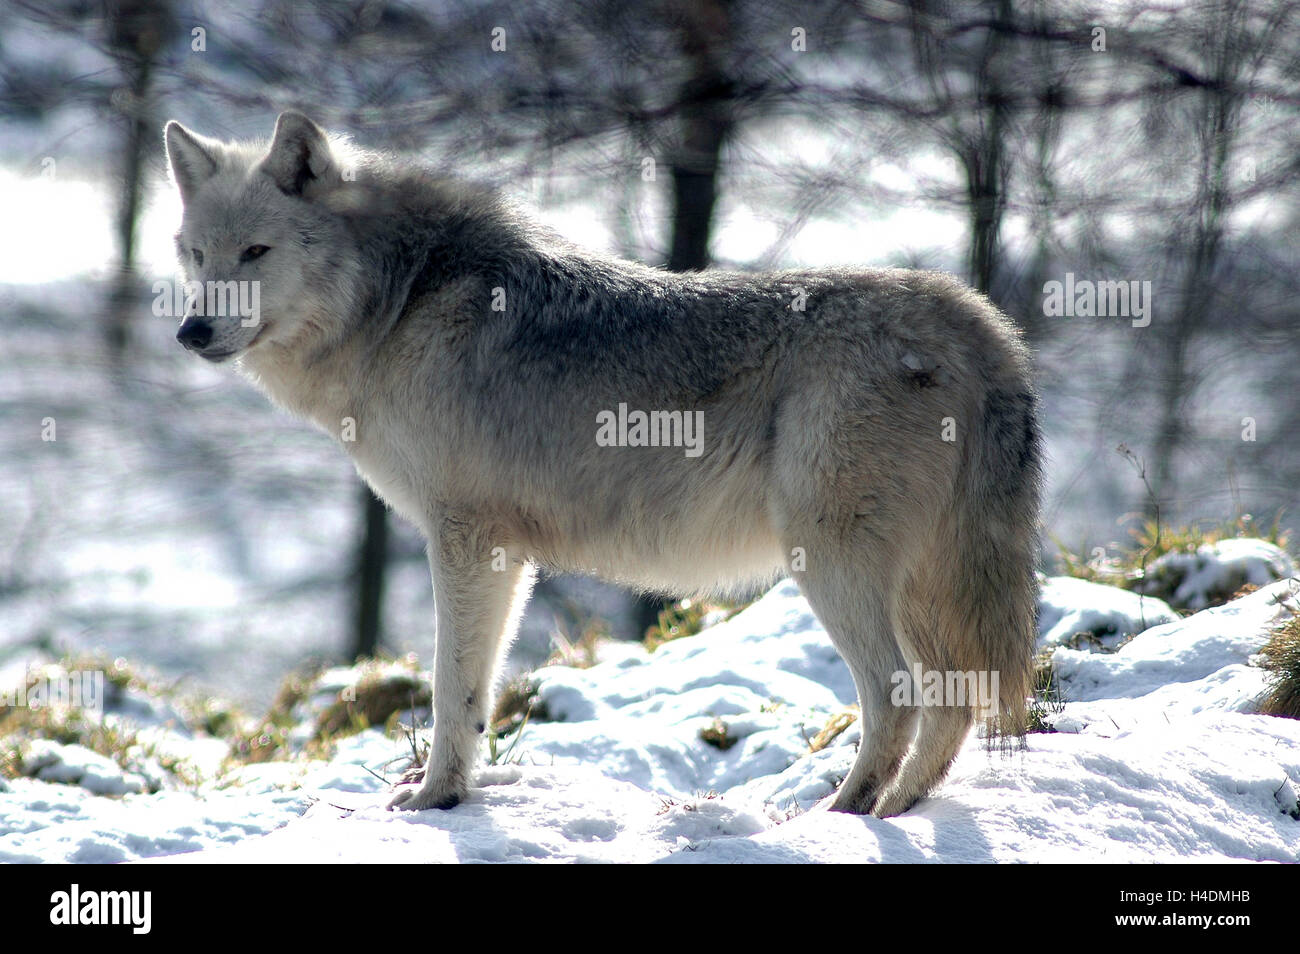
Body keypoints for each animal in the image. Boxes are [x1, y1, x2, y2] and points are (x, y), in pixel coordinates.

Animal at [163, 111, 1041, 818]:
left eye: (255, 252)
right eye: (197, 255)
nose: (192, 331)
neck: (402, 300)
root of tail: (980, 320)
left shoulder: (464, 538)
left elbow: (448, 689)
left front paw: (434, 799)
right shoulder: (506, 556)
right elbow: (479, 695)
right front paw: (457, 791)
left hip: (830, 565)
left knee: (898, 700)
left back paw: (842, 816)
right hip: (918, 587)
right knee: (951, 705)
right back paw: (898, 810)